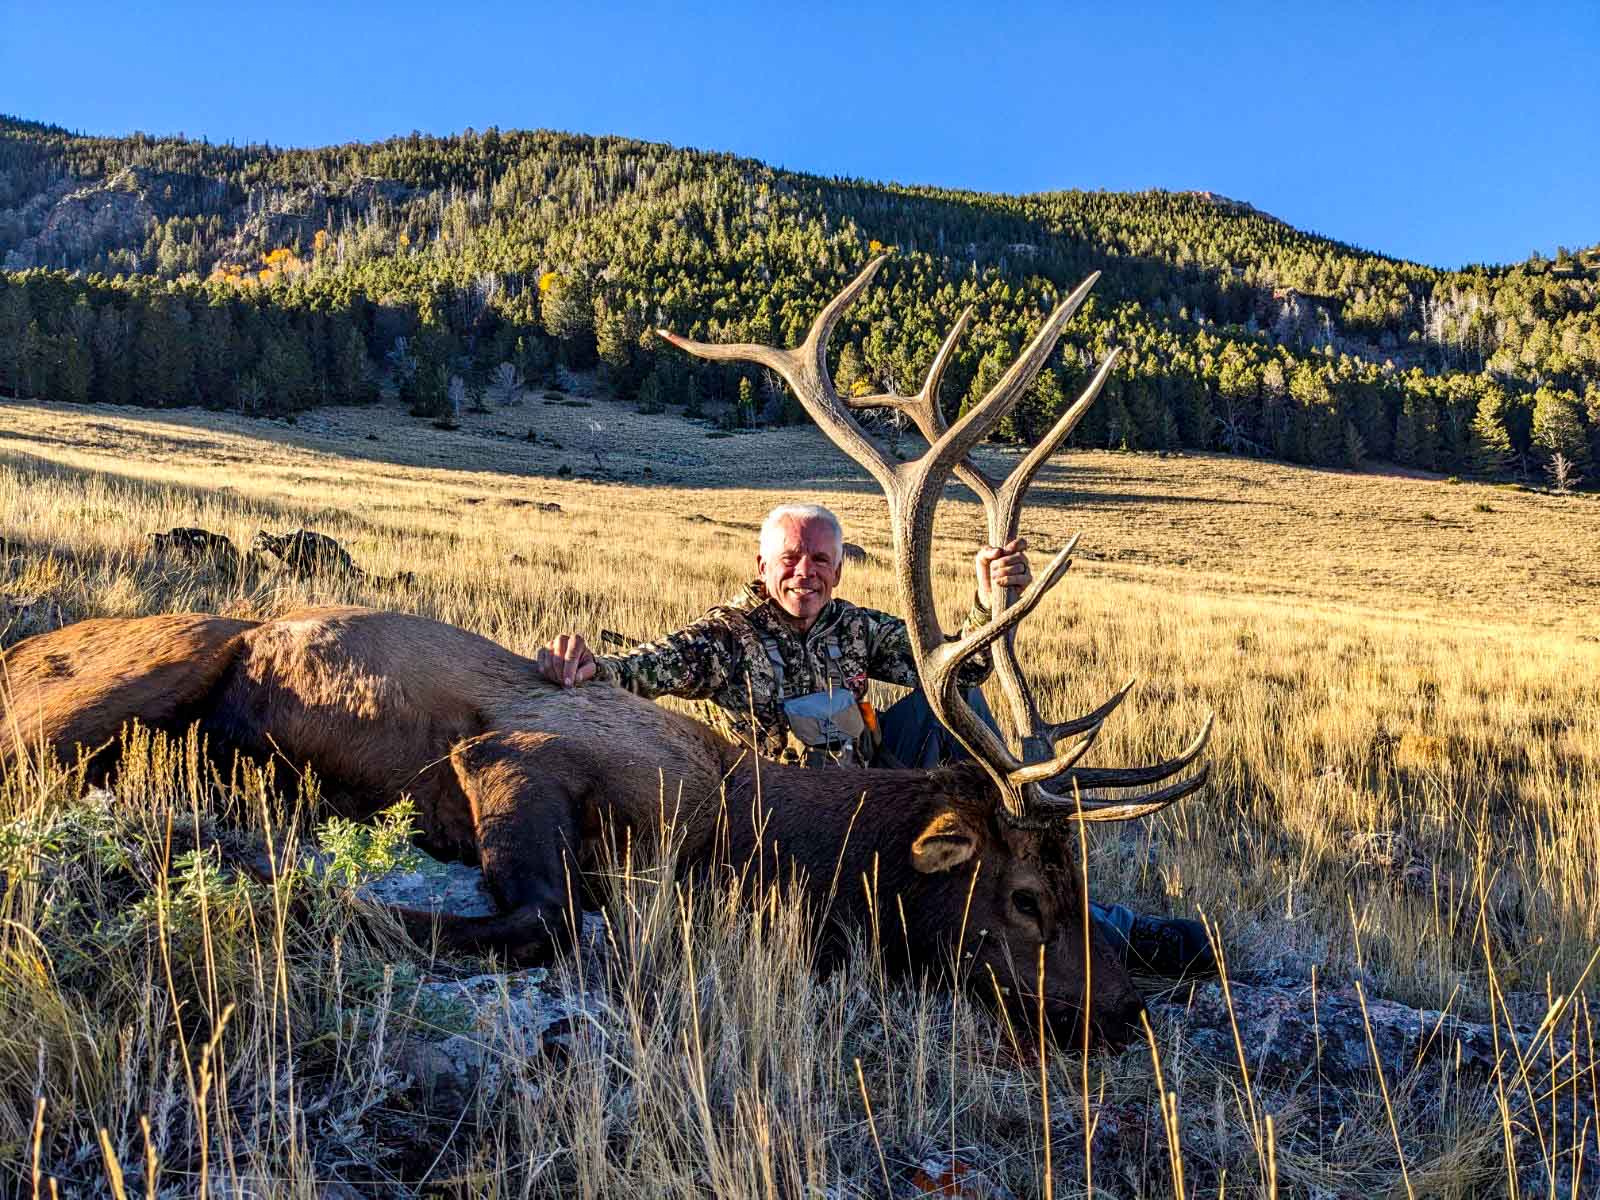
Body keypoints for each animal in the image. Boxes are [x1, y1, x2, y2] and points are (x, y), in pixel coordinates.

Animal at [0, 257, 1210, 1049]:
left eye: (1082, 880)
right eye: (1025, 894)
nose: (1124, 1008)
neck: (749, 830)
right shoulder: (515, 757)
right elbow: (542, 916)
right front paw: (269, 879)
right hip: (149, 664)